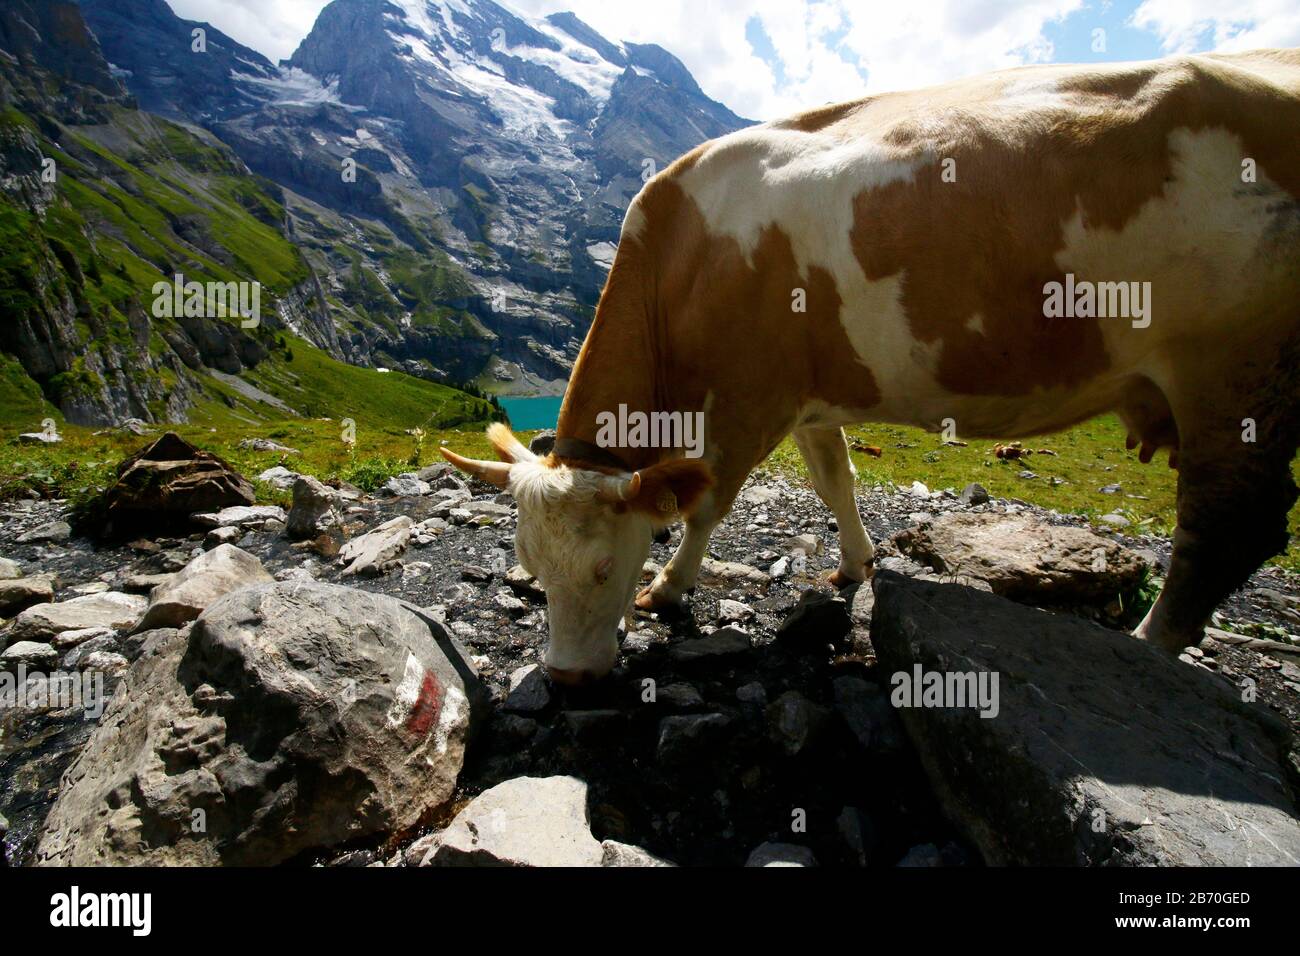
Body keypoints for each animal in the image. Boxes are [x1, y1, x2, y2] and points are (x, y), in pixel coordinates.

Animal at [444, 49, 1300, 685]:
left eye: (599, 569)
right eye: (530, 565)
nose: (565, 676)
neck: (682, 261)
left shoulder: (751, 400)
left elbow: (707, 507)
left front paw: (667, 587)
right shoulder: (809, 400)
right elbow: (836, 483)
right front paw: (857, 565)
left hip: (1229, 367)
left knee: (1226, 527)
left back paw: (1148, 648)